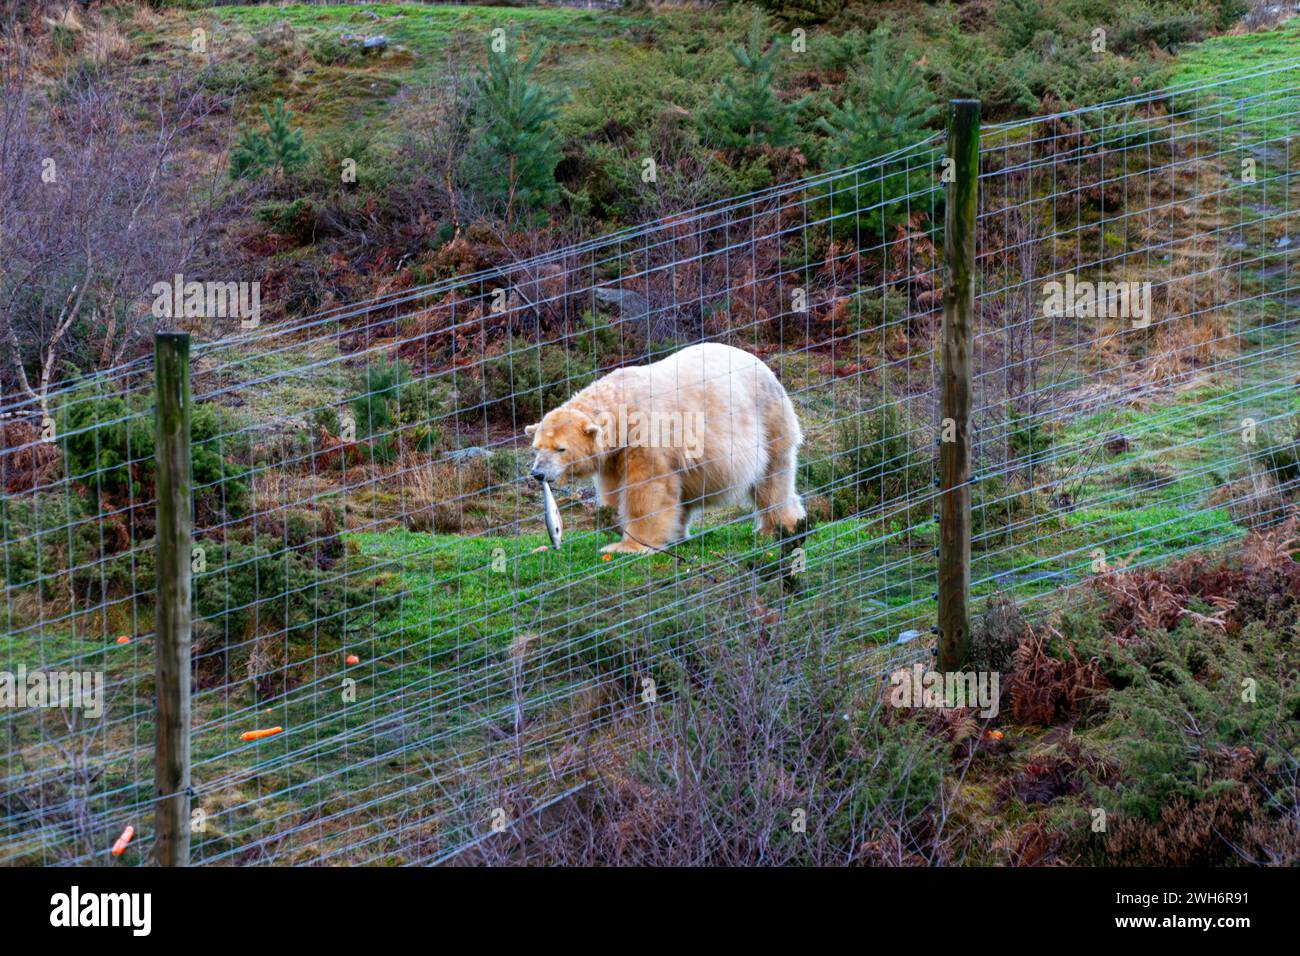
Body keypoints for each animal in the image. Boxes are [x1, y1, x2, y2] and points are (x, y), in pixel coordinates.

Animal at [526, 342, 805, 554]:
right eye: (537, 448)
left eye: (560, 449)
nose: (538, 473)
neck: (621, 406)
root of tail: (764, 365)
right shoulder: (615, 454)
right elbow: (614, 488)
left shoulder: (646, 436)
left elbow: (647, 489)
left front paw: (628, 547)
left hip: (768, 419)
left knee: (772, 477)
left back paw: (779, 526)